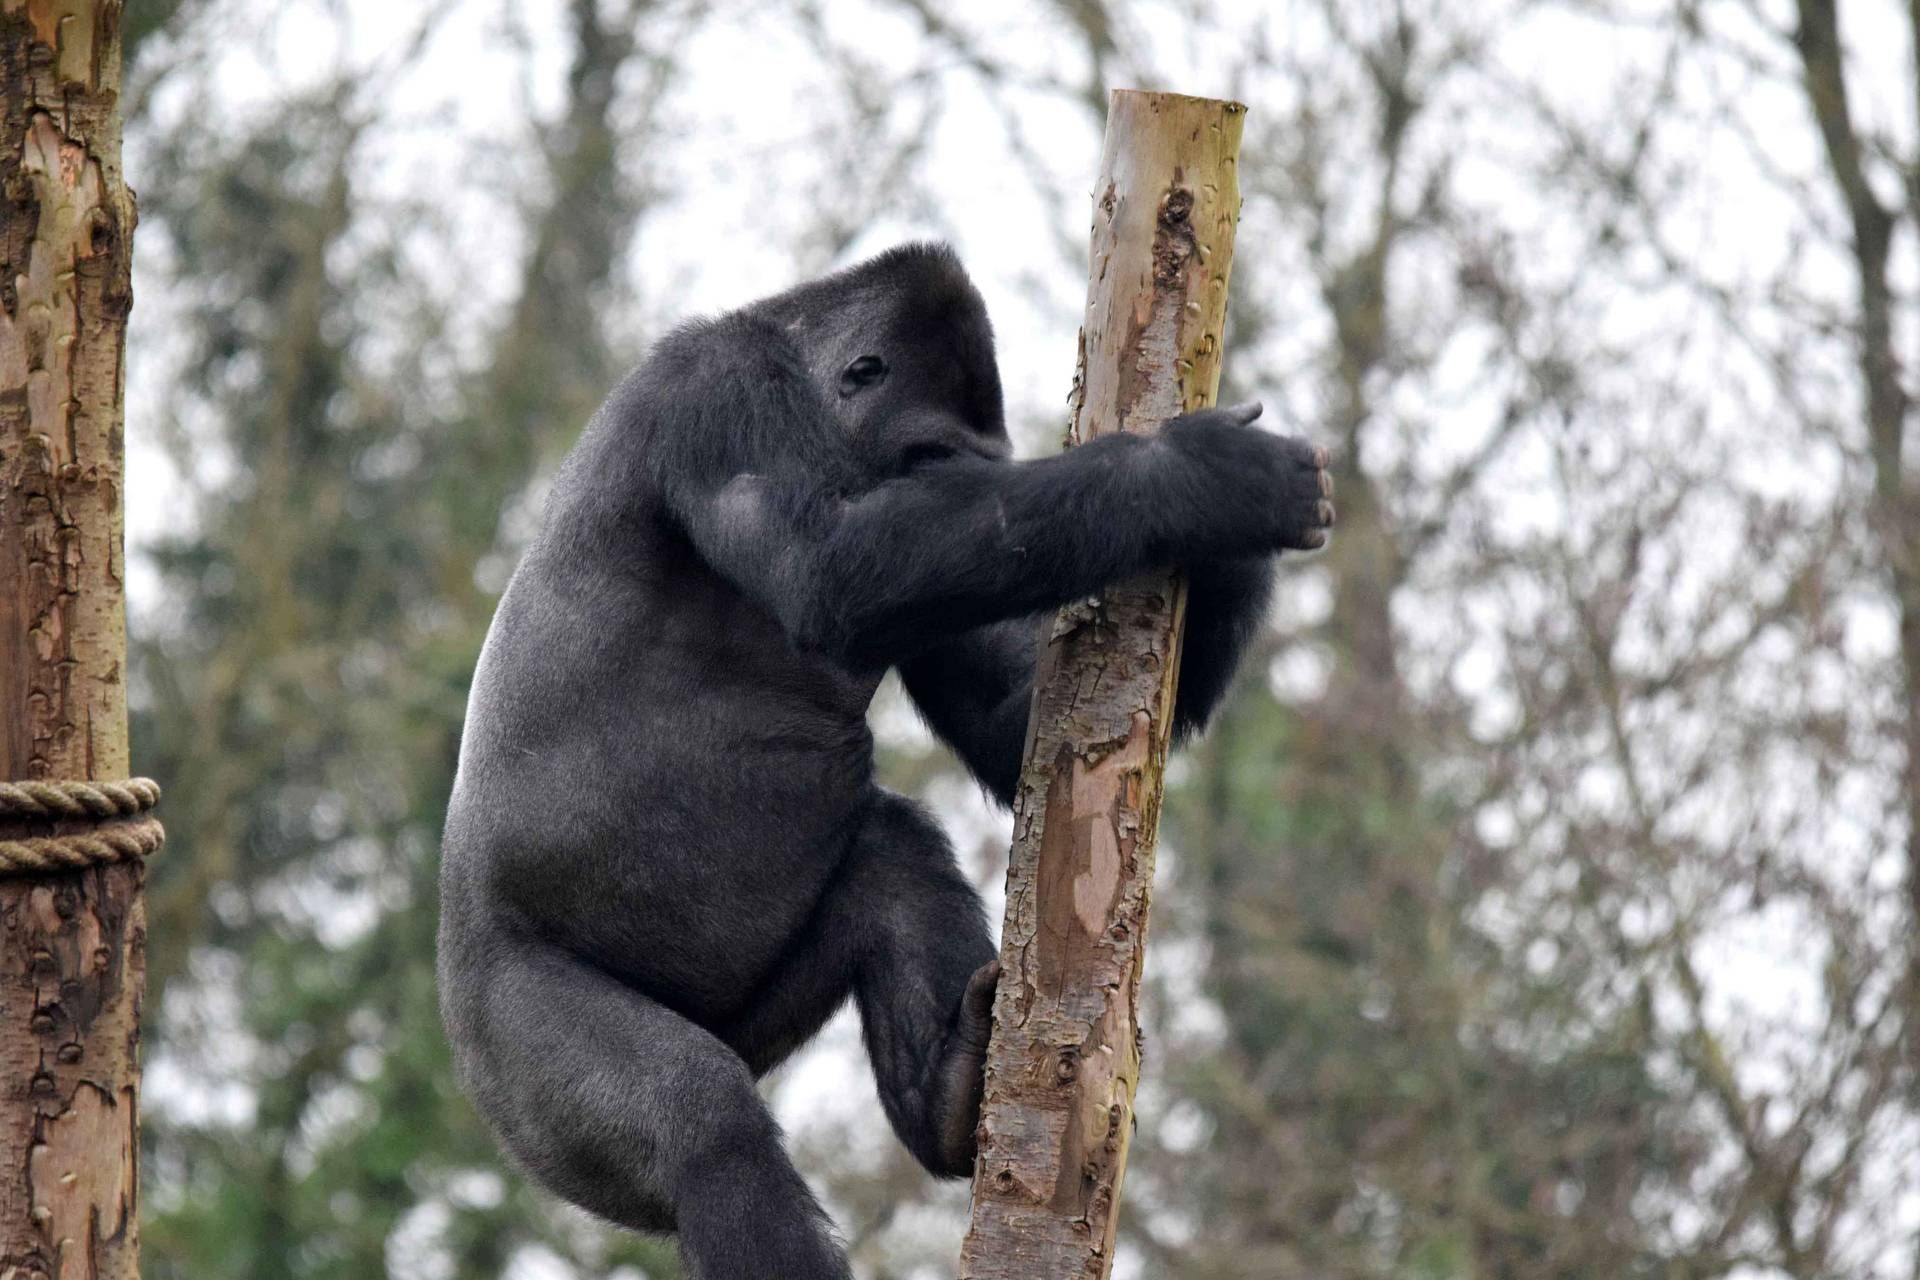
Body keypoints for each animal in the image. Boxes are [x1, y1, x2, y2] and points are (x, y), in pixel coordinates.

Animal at [437, 243, 1333, 1279]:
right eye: (936, 457)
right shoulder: (720, 387)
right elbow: (831, 566)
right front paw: (1197, 481)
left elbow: (1015, 726)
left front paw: (1226, 548)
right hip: (514, 1070)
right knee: (703, 1126)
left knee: (890, 848)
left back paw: (946, 1094)